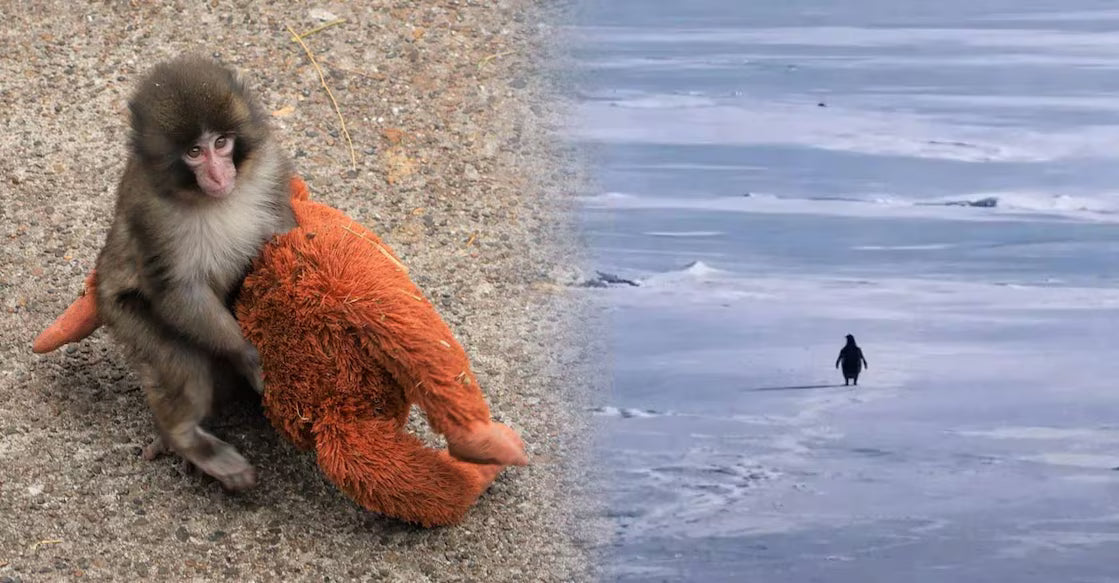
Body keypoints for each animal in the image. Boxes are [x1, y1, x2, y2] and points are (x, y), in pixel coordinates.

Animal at [93, 55, 296, 491]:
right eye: (194, 152)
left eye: (221, 143)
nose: (219, 175)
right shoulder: (150, 213)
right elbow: (177, 290)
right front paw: (247, 354)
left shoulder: (269, 168)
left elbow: (284, 235)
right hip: (122, 315)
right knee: (183, 364)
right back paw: (185, 438)